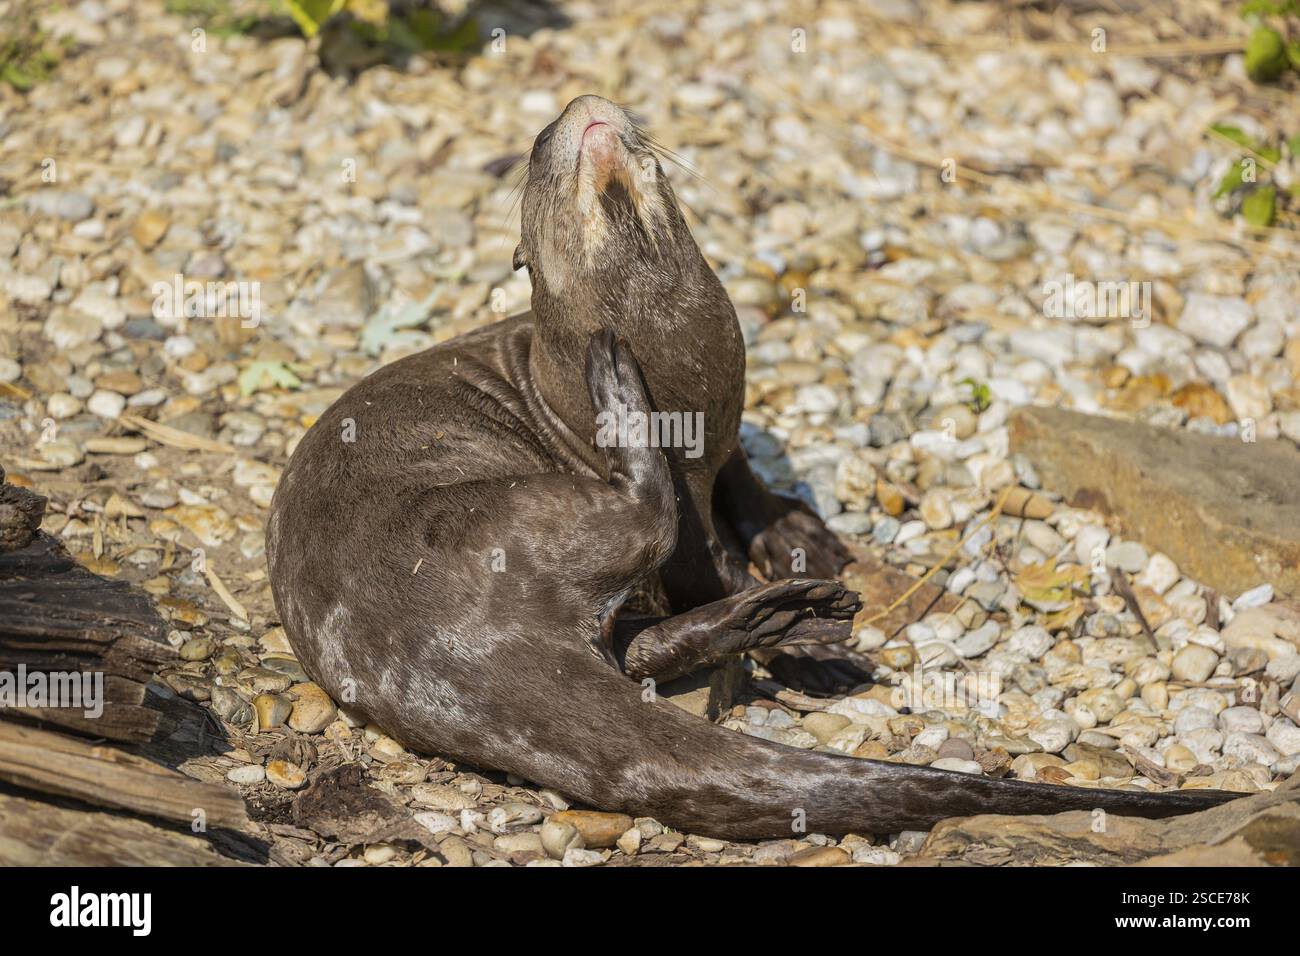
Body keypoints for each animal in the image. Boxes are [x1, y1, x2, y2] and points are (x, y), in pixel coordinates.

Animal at [266, 95, 1235, 838]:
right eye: (540, 144)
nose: (579, 111)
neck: (681, 361)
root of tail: (447, 642)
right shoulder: (686, 486)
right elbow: (697, 538)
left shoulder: (726, 435)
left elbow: (749, 484)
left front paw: (806, 548)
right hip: (513, 520)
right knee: (643, 523)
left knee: (638, 642)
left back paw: (786, 618)